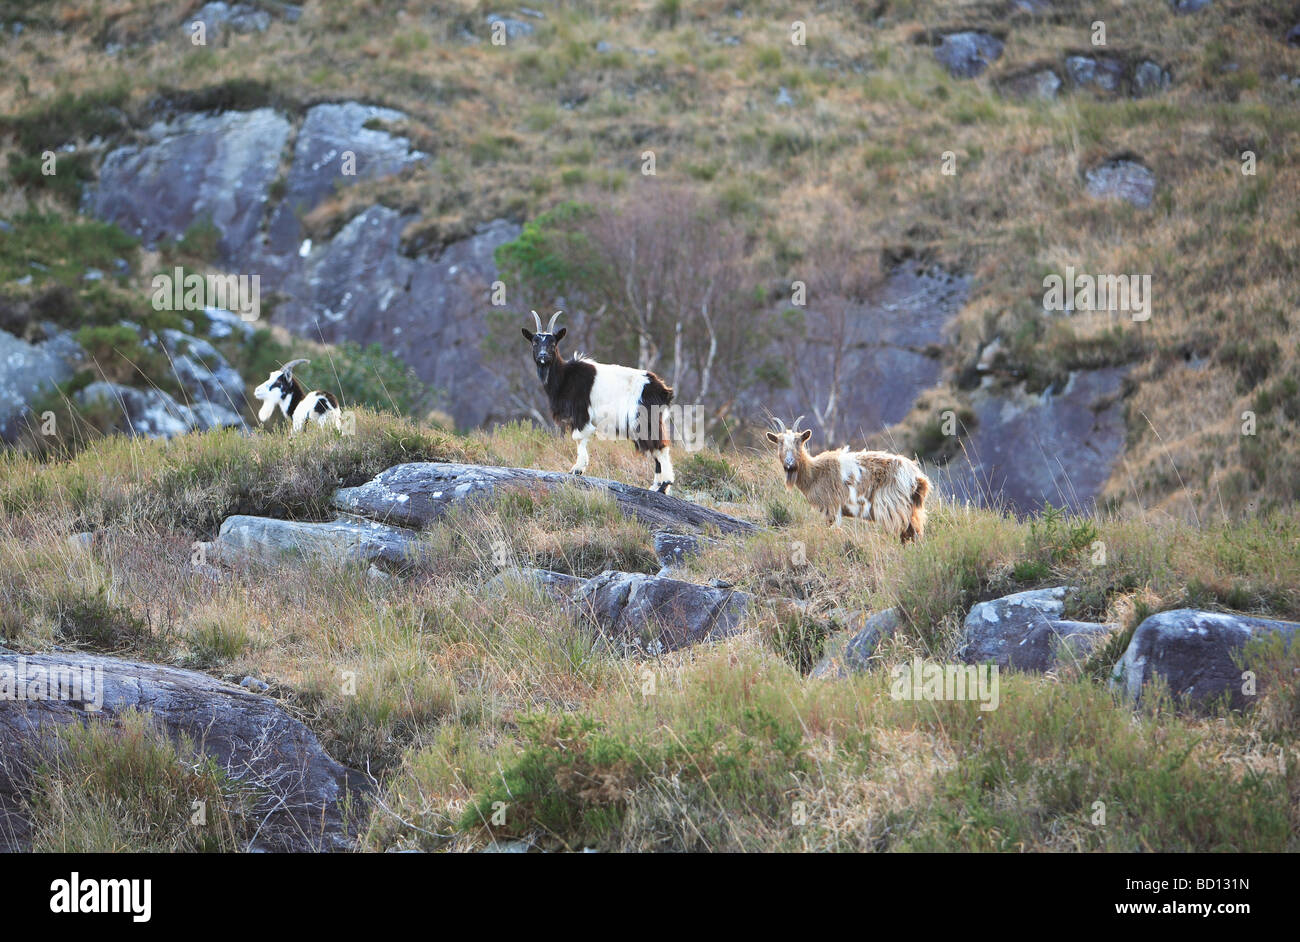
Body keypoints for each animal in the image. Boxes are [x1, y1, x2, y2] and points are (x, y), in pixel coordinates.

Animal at [522, 310, 676, 493]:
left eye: (553, 343)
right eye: (535, 342)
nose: (543, 356)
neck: (564, 377)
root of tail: (663, 390)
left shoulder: (581, 414)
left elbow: (579, 437)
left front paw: (577, 469)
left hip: (644, 420)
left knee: (660, 447)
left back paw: (664, 484)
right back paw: (656, 487)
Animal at [766, 416, 931, 543]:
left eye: (799, 441)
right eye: (779, 442)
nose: (790, 464)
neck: (814, 473)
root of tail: (917, 477)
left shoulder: (832, 509)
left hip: (894, 508)